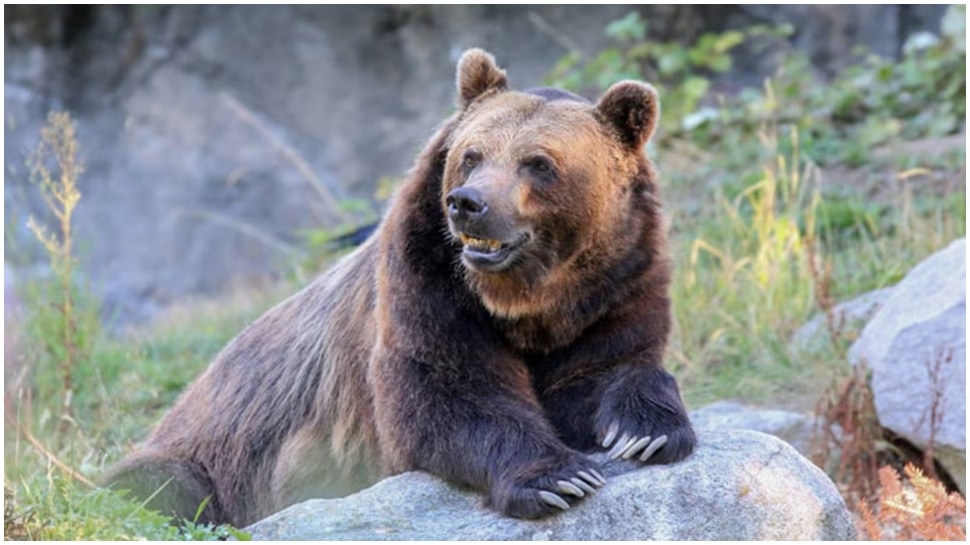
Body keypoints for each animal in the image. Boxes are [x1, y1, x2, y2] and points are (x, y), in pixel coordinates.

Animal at [104, 48, 696, 527]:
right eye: (472, 154)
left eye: (539, 163)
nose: (468, 203)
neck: (526, 298)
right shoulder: (425, 283)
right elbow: (447, 394)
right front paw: (557, 478)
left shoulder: (617, 281)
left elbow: (609, 366)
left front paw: (648, 431)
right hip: (211, 455)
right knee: (158, 486)